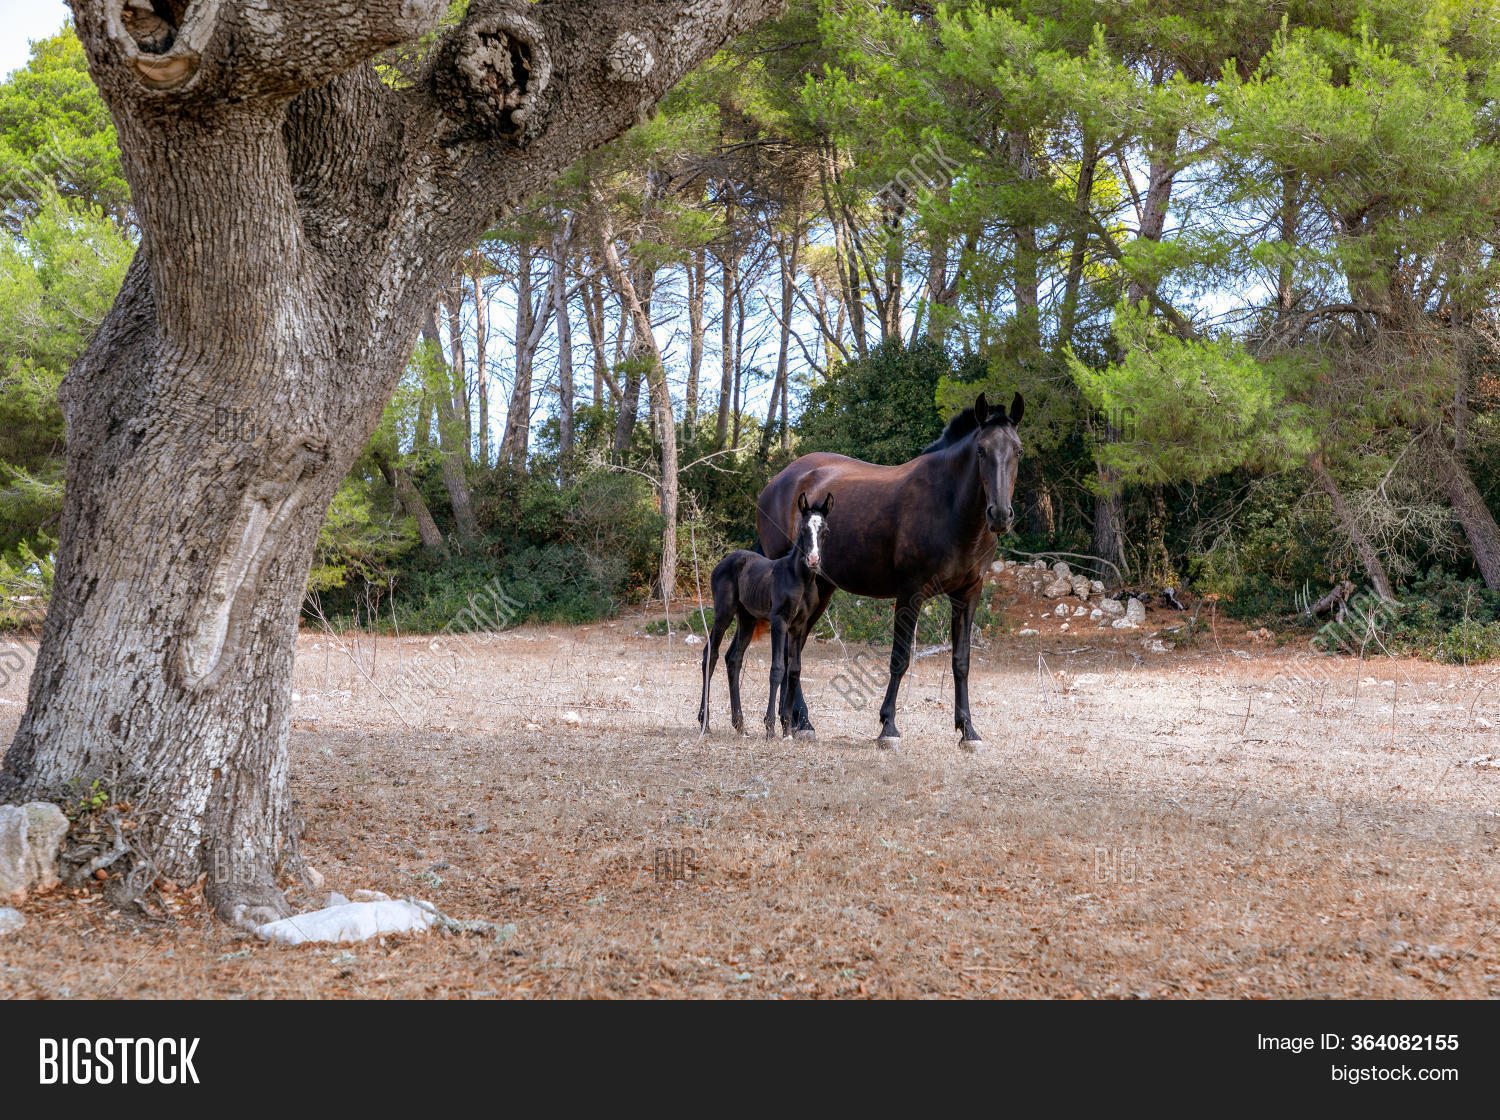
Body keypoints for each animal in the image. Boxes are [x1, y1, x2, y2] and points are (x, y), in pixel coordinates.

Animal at [699, 492, 833, 739]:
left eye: (825, 531)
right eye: (803, 530)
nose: (813, 560)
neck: (799, 578)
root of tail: (722, 563)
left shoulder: (799, 625)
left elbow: (794, 670)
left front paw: (788, 728)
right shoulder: (779, 621)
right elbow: (777, 669)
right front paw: (770, 726)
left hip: (747, 618)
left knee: (733, 658)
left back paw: (740, 724)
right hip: (724, 613)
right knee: (710, 654)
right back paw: (705, 722)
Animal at [755, 392, 1023, 749]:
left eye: (1018, 450)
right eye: (981, 449)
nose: (1000, 515)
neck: (948, 503)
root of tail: (777, 483)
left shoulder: (968, 593)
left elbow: (961, 661)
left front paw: (968, 730)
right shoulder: (911, 593)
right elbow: (899, 658)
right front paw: (889, 727)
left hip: (821, 590)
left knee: (793, 649)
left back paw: (799, 722)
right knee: (788, 650)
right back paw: (799, 722)